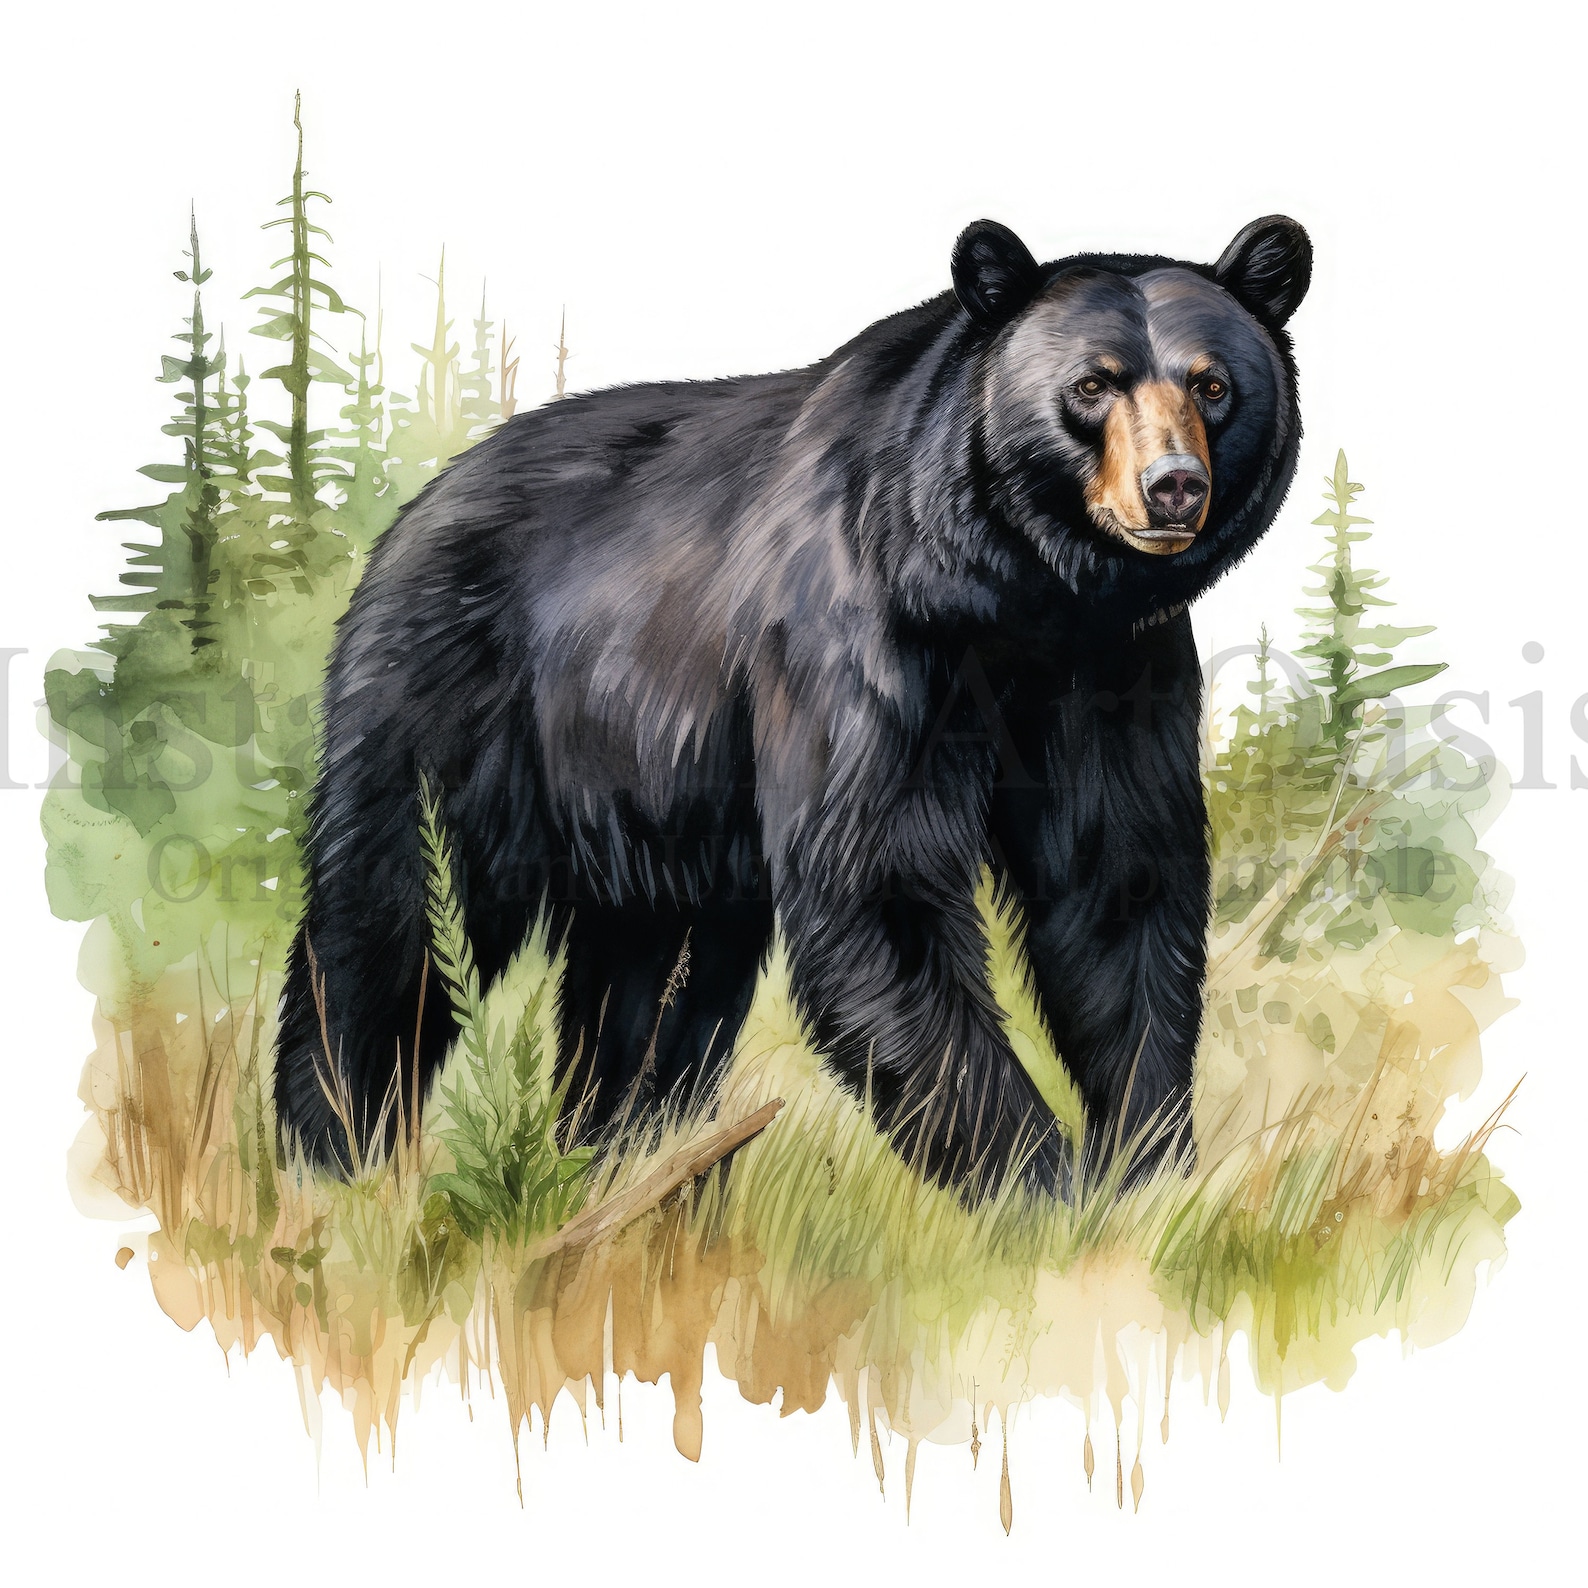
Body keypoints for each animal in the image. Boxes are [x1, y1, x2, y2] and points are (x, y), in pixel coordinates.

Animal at [274, 214, 1311, 1196]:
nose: (1172, 486)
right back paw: (332, 1160)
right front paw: (1042, 1188)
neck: (1014, 592)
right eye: (1094, 384)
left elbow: (1116, 885)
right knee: (393, 919)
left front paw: (1146, 1173)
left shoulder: (1111, 671)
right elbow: (880, 892)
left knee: (650, 993)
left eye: (1213, 385)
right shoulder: (862, 640)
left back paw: (610, 1166)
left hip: (650, 809)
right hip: (458, 703)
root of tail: (422, 504)